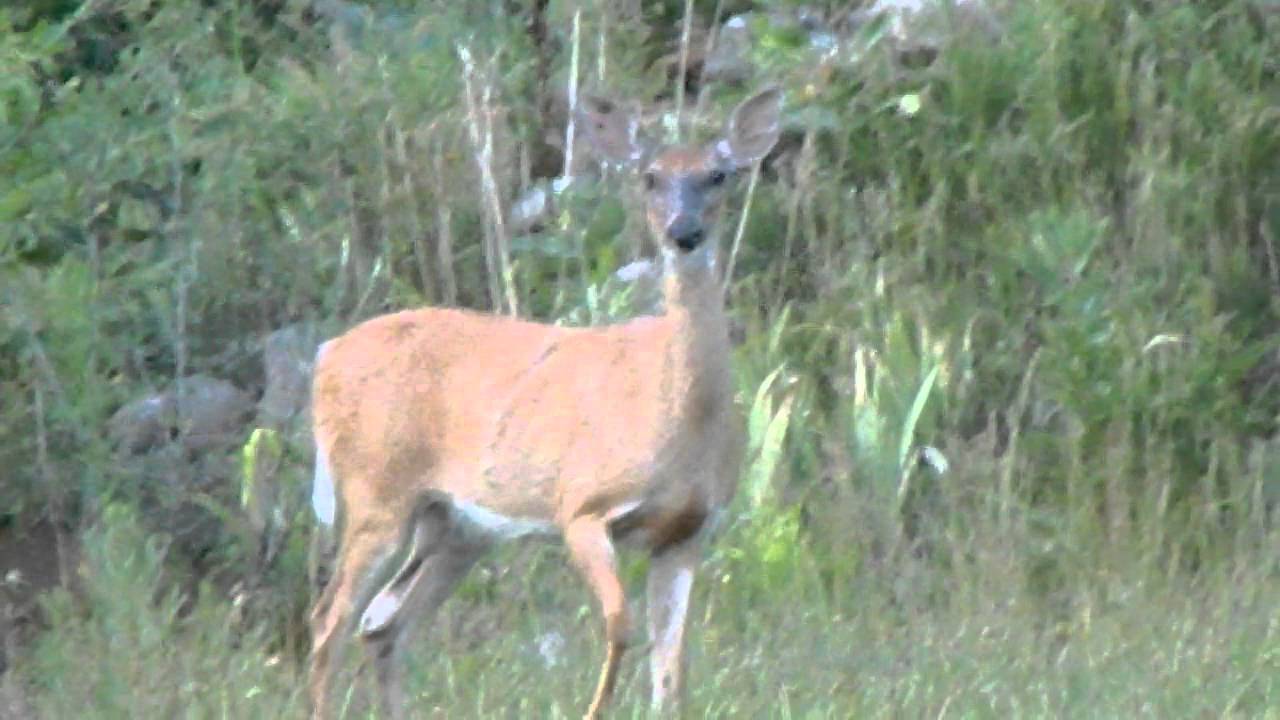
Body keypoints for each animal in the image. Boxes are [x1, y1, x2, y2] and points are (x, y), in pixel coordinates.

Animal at [307, 87, 783, 720]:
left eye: (718, 175)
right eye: (650, 177)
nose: (683, 232)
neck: (678, 421)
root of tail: (326, 356)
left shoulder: (688, 532)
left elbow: (671, 666)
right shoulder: (580, 506)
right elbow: (620, 626)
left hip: (455, 525)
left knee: (384, 622)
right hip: (375, 489)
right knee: (329, 620)